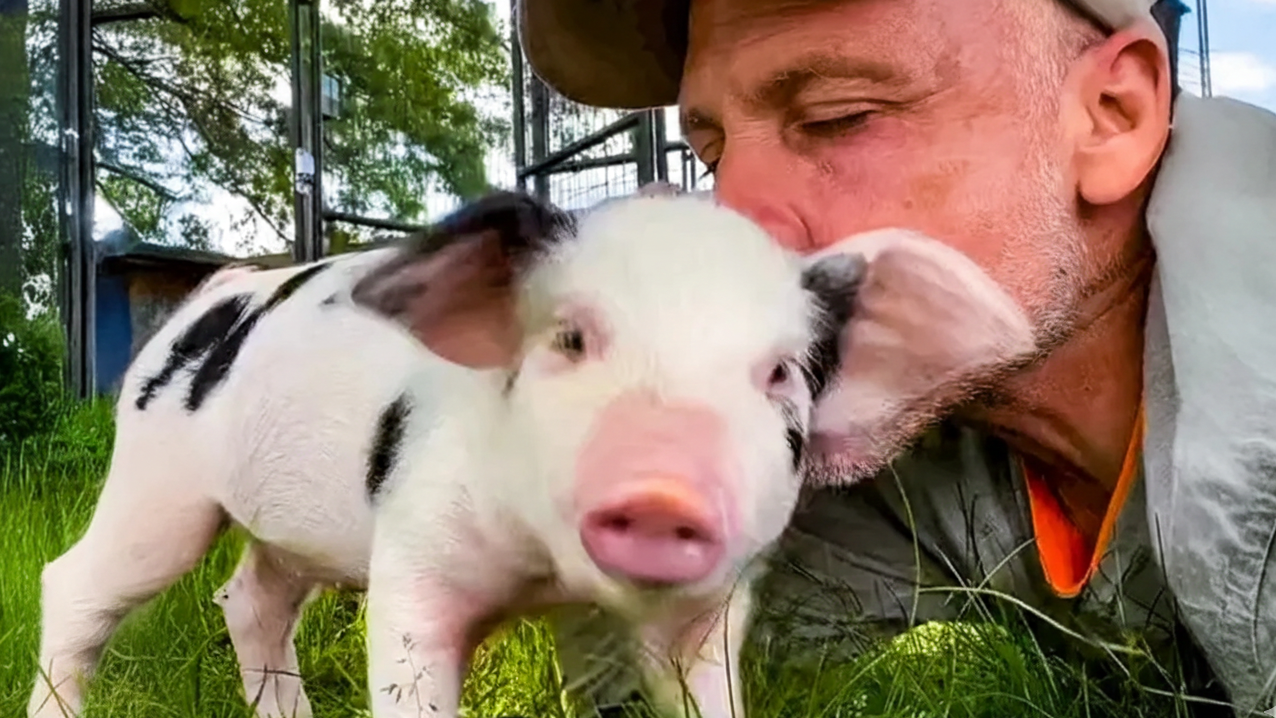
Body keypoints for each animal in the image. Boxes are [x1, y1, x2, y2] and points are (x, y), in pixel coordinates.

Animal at [27, 190, 866, 718]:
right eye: (569, 339)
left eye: (782, 374)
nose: (666, 487)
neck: (544, 576)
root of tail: (212, 294)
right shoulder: (416, 544)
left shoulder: (710, 611)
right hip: (157, 478)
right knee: (74, 583)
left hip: (289, 531)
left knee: (251, 600)